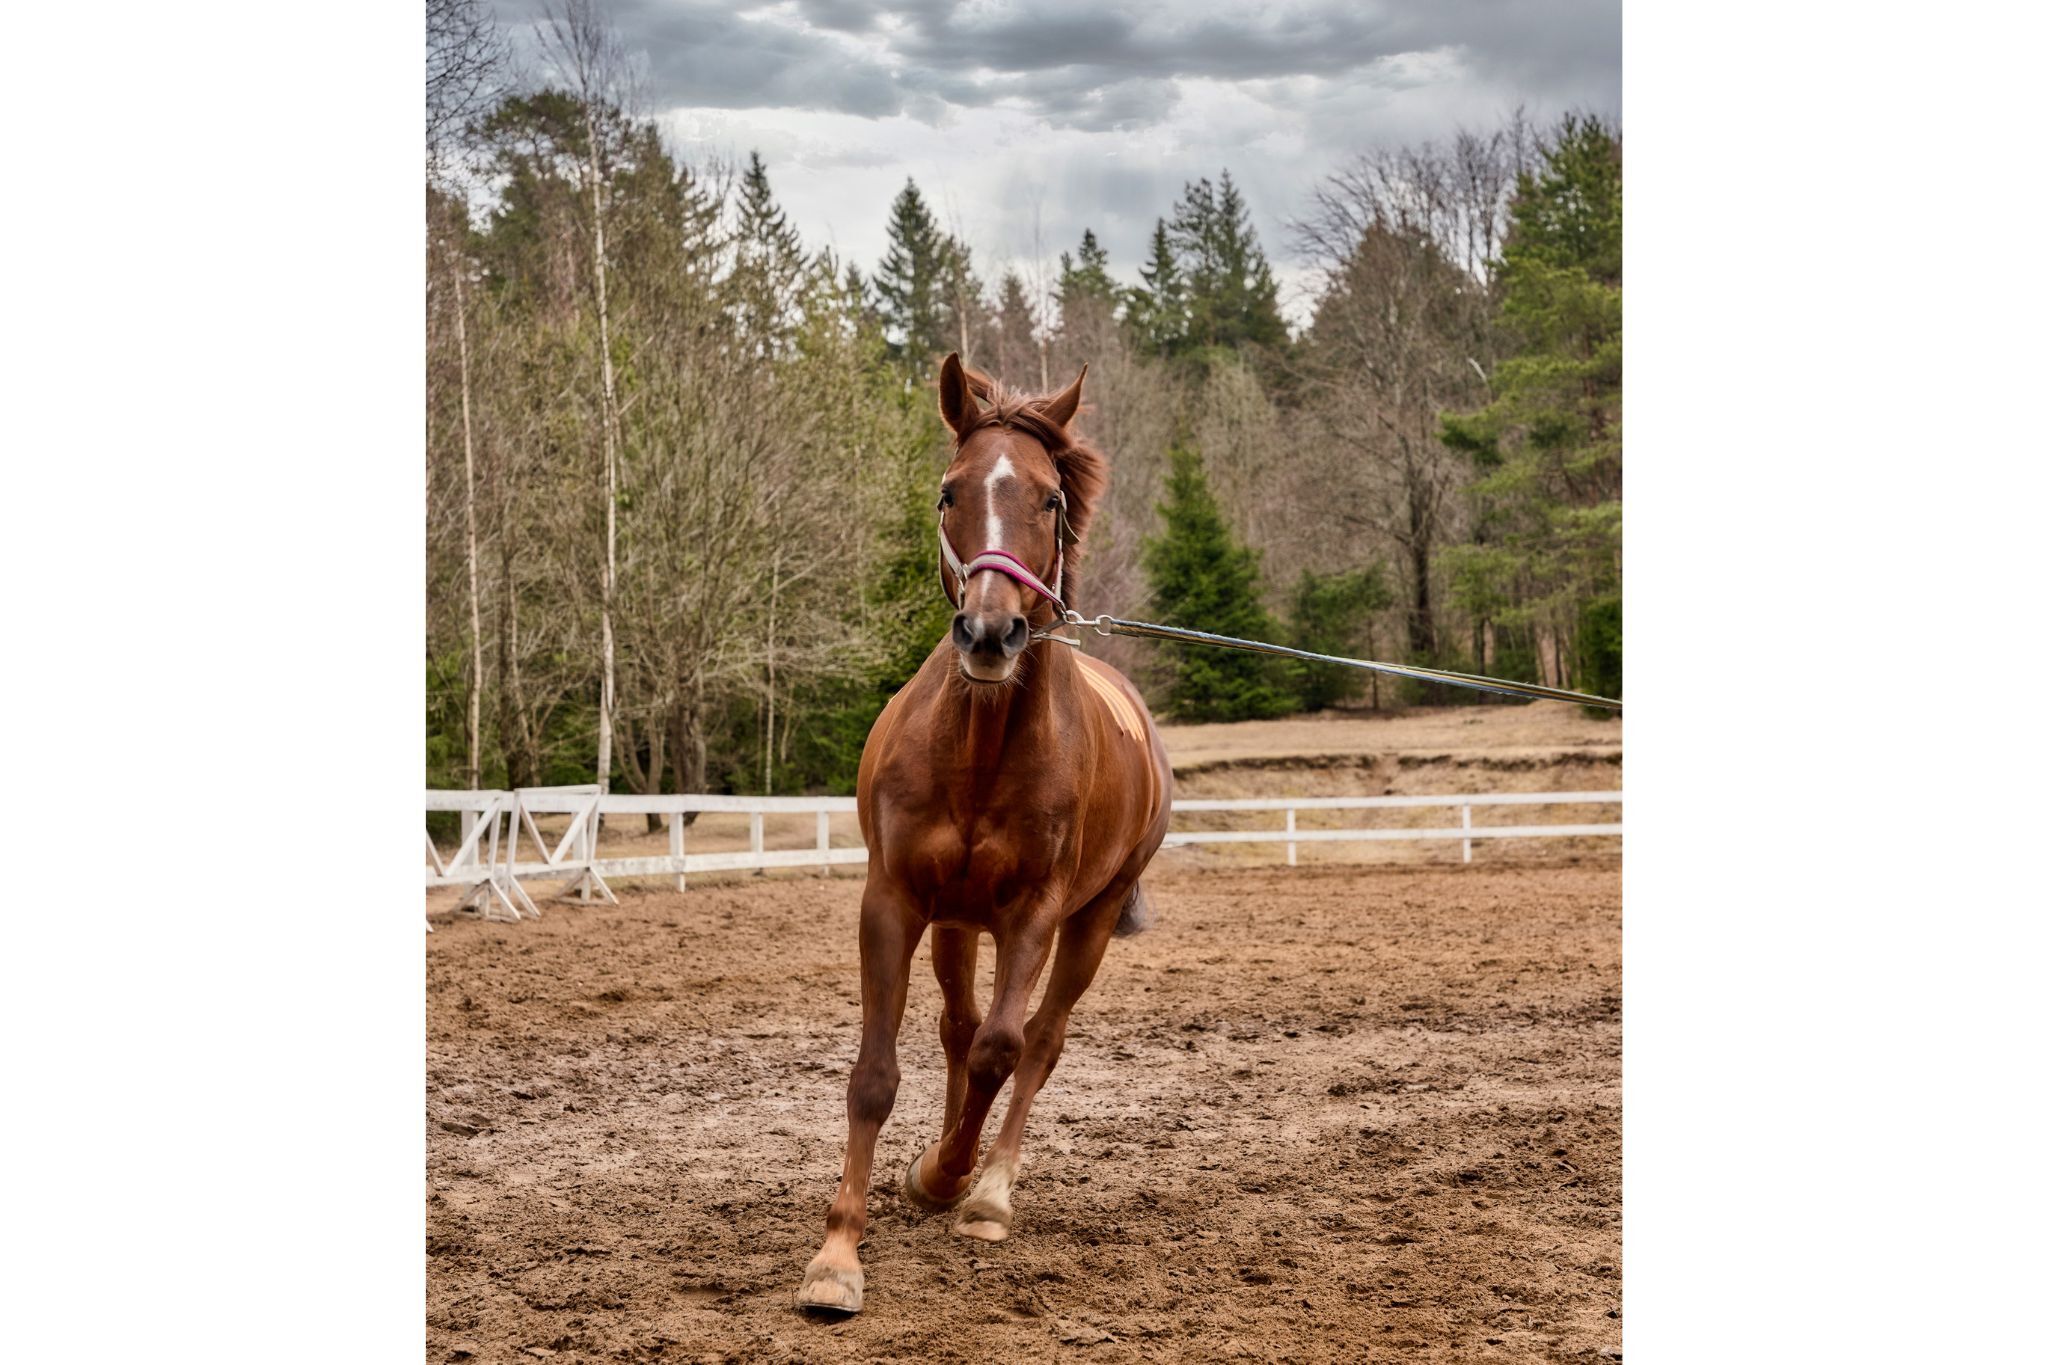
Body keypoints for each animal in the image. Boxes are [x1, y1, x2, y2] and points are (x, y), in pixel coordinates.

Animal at [796, 353, 1175, 1315]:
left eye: (1049, 498)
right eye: (948, 490)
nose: (990, 631)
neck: (978, 747)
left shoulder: (1033, 915)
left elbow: (1004, 1049)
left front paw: (946, 1178)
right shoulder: (894, 902)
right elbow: (878, 1073)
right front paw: (839, 1252)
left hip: (1088, 922)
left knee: (1035, 1040)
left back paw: (989, 1188)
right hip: (956, 922)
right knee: (957, 1029)